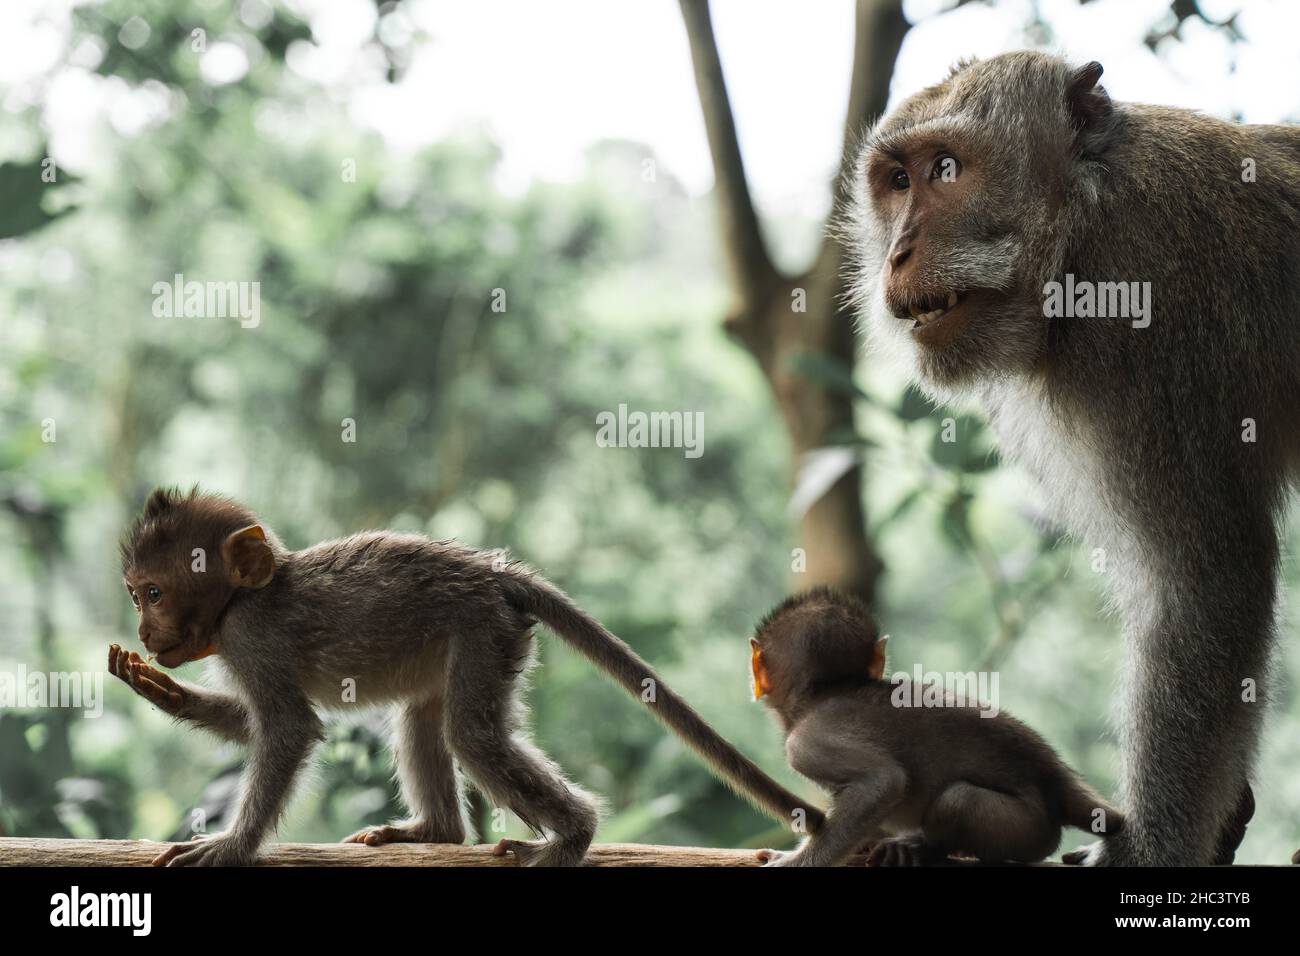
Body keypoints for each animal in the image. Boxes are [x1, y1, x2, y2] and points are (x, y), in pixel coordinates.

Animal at [111, 487, 822, 866]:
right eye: (135, 595)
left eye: (154, 592)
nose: (144, 632)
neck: (244, 596)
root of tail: (495, 572)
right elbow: (250, 723)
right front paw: (163, 691)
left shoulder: (249, 636)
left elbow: (288, 729)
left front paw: (230, 847)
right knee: (426, 718)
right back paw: (437, 833)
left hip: (484, 629)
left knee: (472, 736)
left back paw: (572, 837)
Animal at [749, 588, 1123, 867]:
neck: (830, 690)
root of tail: (1057, 778)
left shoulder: (804, 742)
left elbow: (882, 782)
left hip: (1028, 831)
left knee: (959, 800)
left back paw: (926, 846)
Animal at [844, 51, 1298, 865]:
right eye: (896, 181)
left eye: (946, 169)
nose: (896, 254)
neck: (1084, 226)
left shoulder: (1151, 321)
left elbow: (1206, 579)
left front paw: (1148, 850)